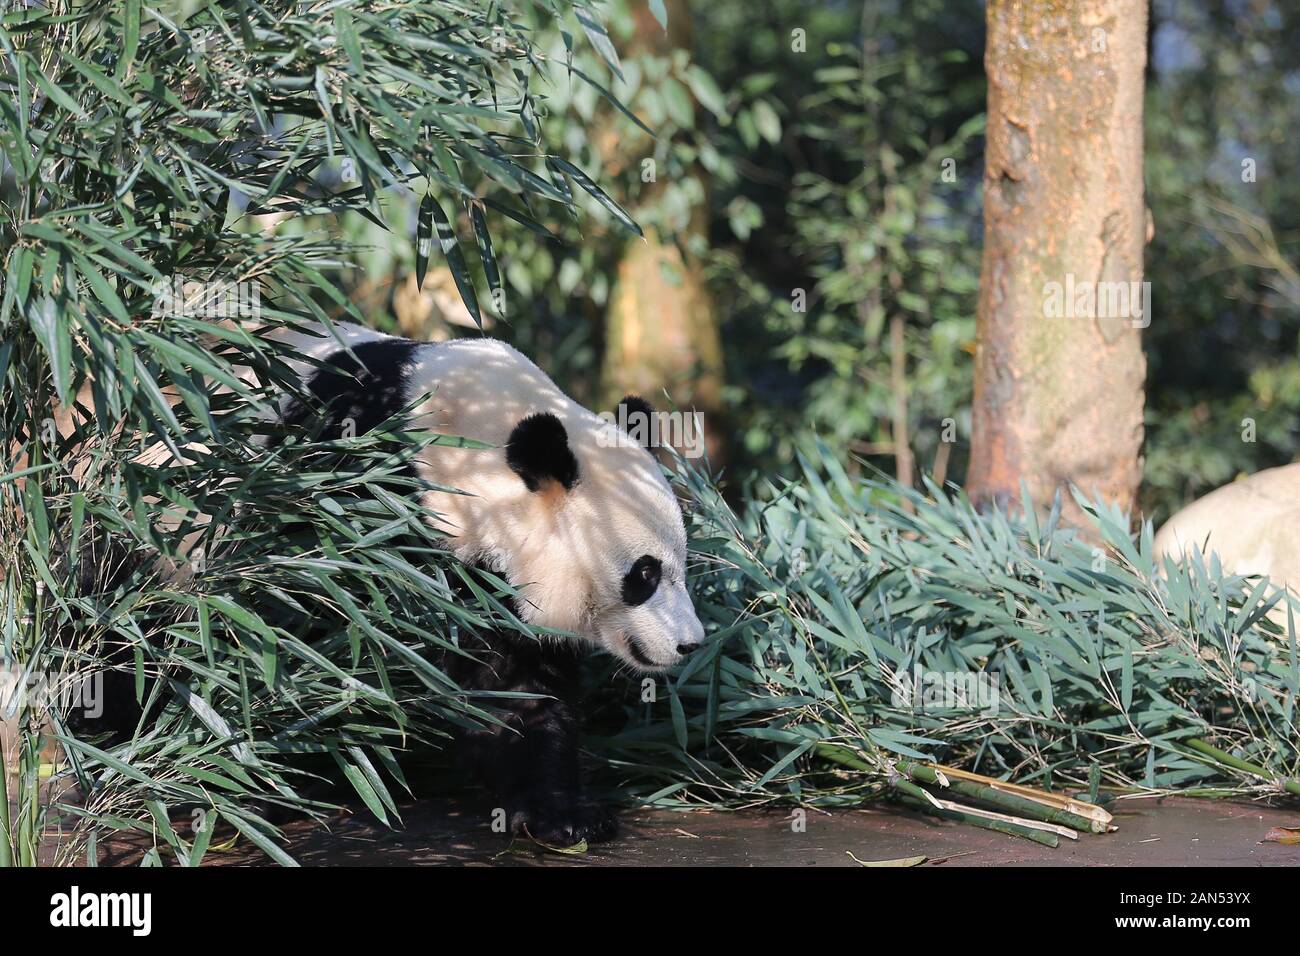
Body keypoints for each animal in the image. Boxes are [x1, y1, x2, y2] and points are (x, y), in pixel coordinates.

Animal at [274, 323, 707, 844]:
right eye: (644, 574)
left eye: (680, 563)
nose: (690, 644)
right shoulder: (354, 498)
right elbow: (314, 626)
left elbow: (516, 689)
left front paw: (563, 814)